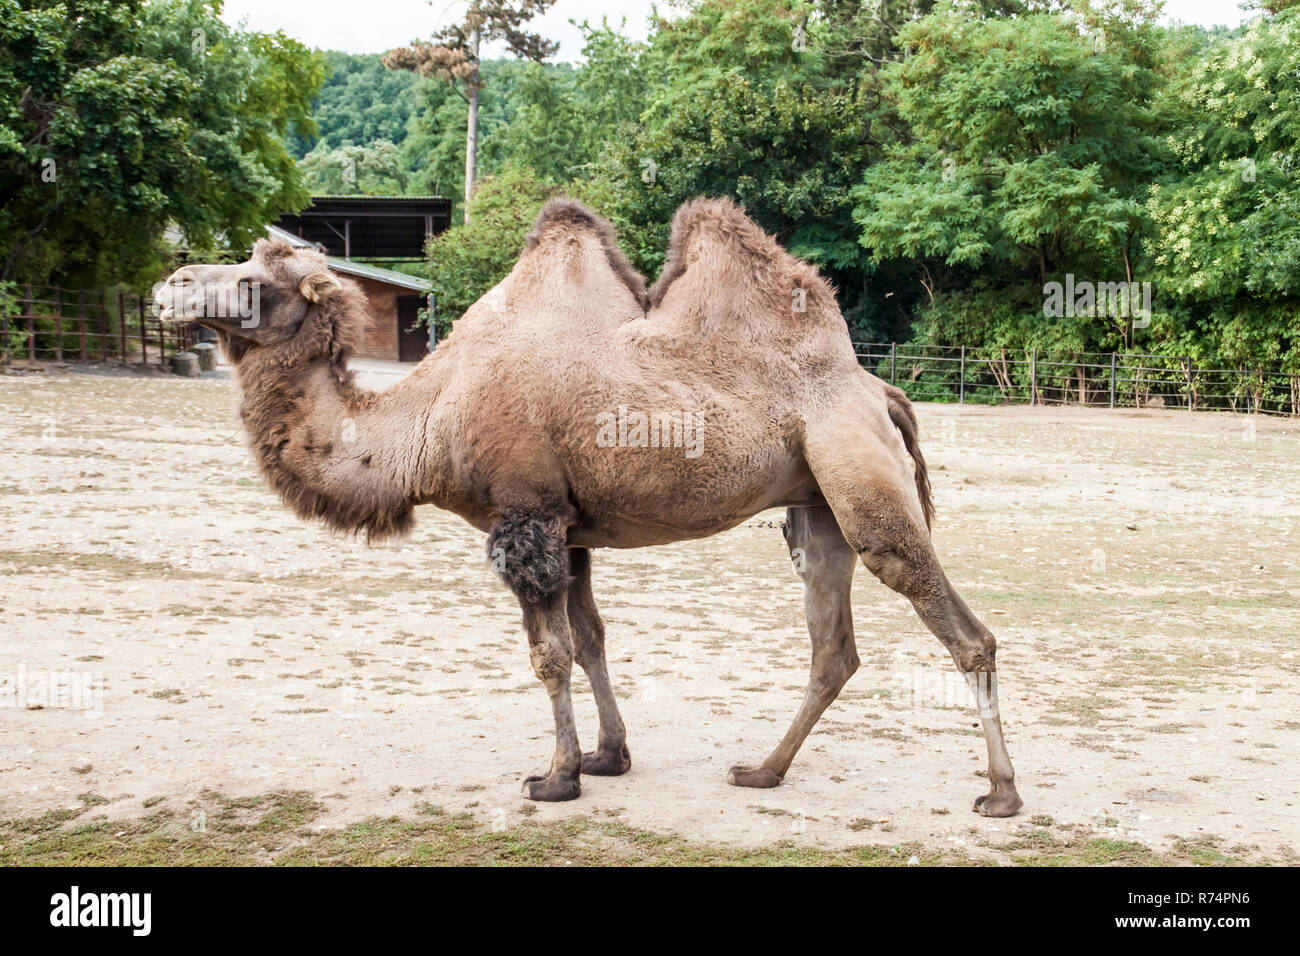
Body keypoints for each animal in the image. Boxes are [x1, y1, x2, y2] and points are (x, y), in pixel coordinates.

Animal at [155, 196, 1022, 816]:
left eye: (256, 280)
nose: (168, 285)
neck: (426, 420)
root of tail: (875, 387)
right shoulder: (568, 529)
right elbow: (593, 639)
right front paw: (609, 756)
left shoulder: (524, 515)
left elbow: (549, 654)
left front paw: (557, 777)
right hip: (816, 508)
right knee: (832, 647)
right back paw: (761, 771)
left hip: (859, 475)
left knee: (956, 624)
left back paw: (1001, 794)